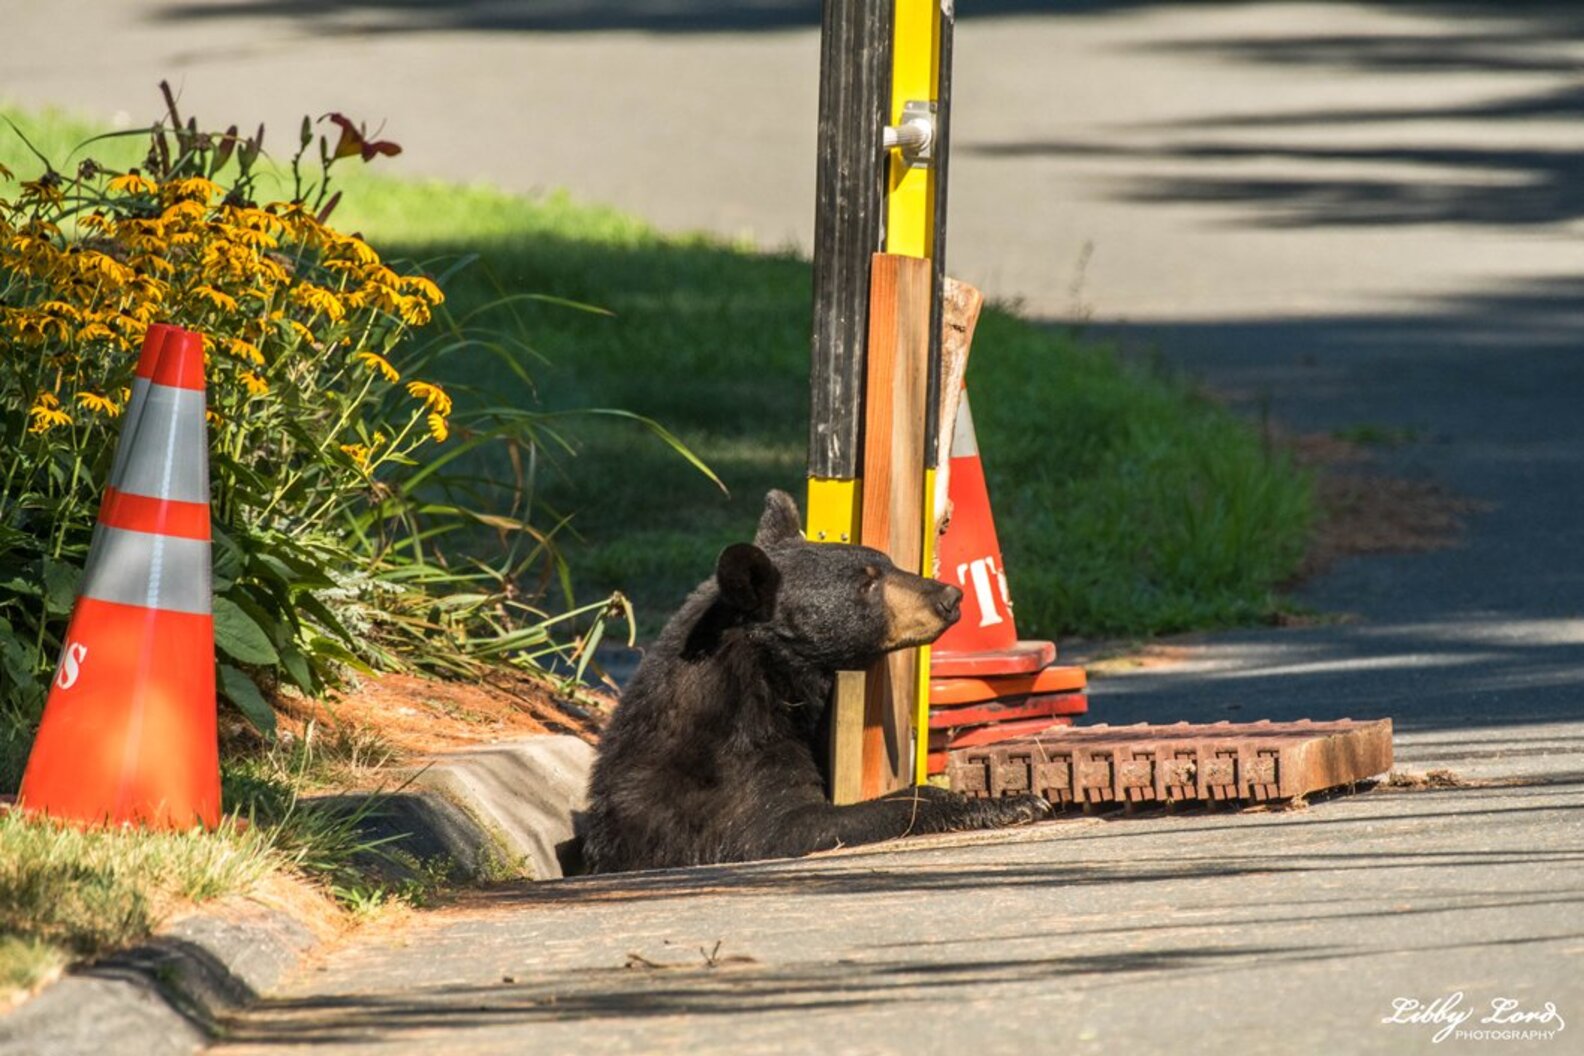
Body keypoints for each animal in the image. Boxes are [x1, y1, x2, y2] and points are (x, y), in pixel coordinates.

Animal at [582, 489, 1052, 873]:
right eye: (867, 583)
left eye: (887, 563)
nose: (950, 597)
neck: (766, 680)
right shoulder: (725, 780)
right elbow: (785, 827)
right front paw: (1014, 802)